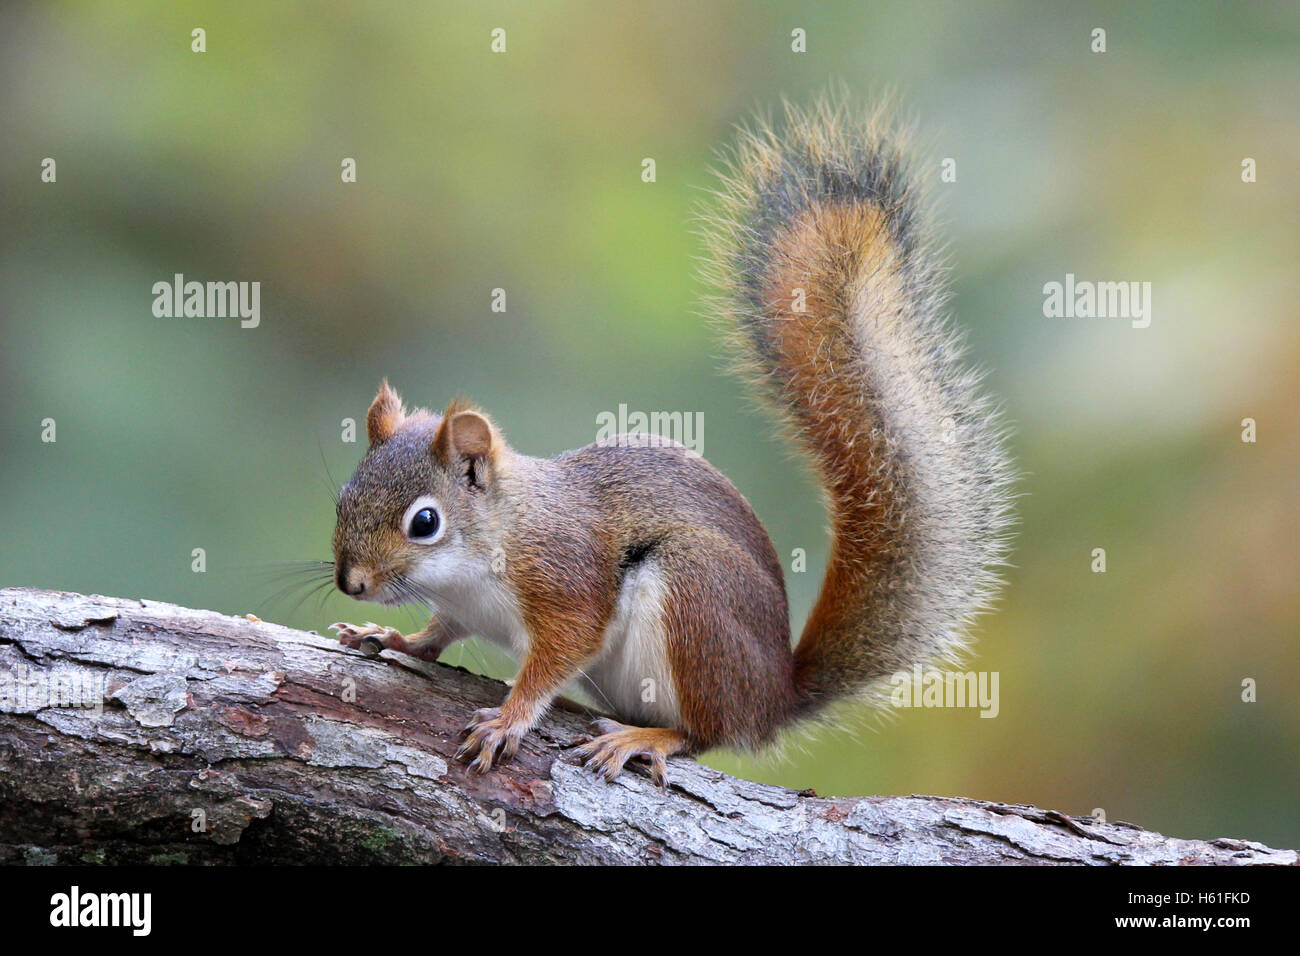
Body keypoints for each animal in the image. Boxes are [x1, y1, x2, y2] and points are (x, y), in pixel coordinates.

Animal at [328, 98, 1014, 788]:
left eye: (425, 522)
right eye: (342, 498)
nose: (351, 582)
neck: (486, 548)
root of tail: (774, 696)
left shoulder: (565, 582)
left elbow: (556, 657)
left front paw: (509, 719)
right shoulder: (463, 607)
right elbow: (438, 633)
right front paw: (391, 638)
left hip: (693, 596)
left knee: (707, 731)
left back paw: (646, 736)